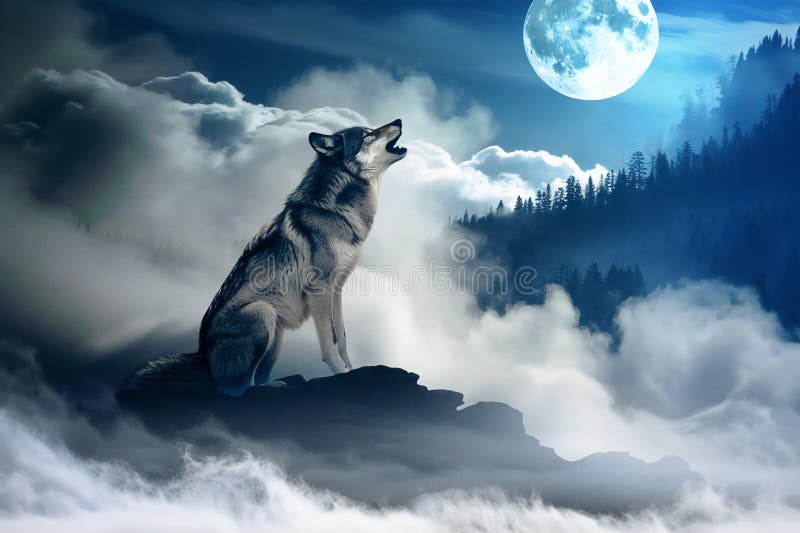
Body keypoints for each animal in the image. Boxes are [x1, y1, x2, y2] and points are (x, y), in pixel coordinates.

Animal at [124, 119, 407, 396]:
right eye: (368, 134)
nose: (399, 120)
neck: (335, 209)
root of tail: (202, 354)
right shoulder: (320, 289)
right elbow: (329, 341)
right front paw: (340, 372)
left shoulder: (336, 289)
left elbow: (343, 337)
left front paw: (351, 369)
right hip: (263, 313)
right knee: (234, 388)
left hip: (277, 331)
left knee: (255, 379)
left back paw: (276, 384)